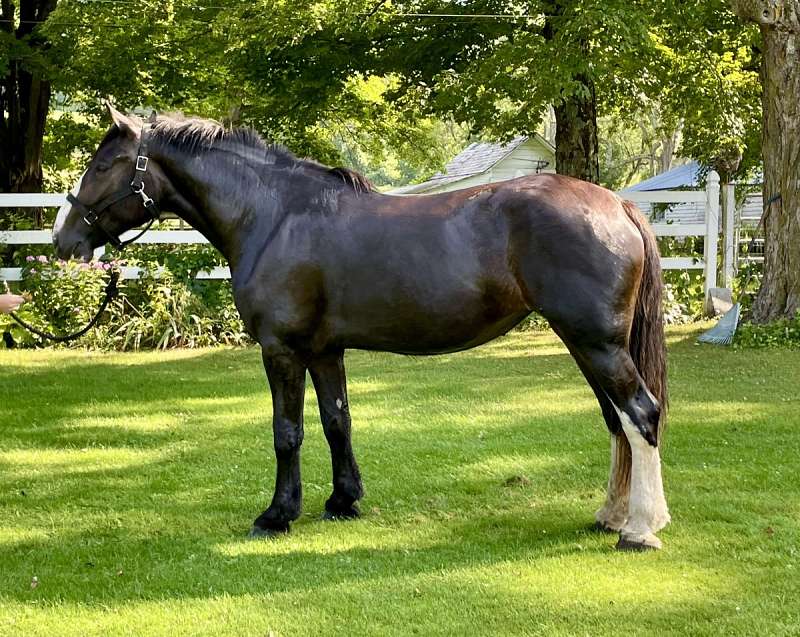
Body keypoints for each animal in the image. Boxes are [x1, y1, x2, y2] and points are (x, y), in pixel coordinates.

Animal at [53, 104, 670, 551]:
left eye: (104, 165)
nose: (64, 240)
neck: (274, 216)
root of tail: (616, 204)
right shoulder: (326, 351)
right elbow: (337, 423)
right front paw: (342, 502)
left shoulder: (281, 349)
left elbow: (288, 432)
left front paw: (276, 515)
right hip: (585, 343)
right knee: (617, 421)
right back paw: (611, 517)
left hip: (597, 342)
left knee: (640, 415)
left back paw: (639, 531)